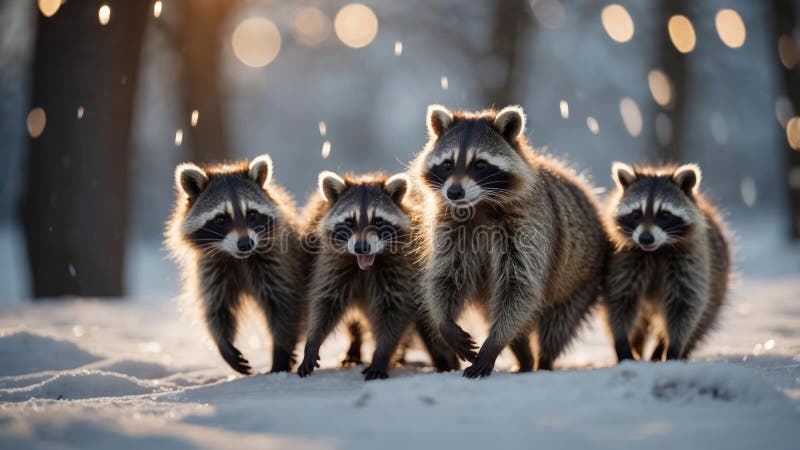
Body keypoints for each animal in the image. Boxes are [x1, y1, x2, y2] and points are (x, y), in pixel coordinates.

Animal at [165, 155, 305, 374]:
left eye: (252, 214)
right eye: (221, 219)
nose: (246, 243)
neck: (238, 258)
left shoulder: (278, 263)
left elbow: (284, 306)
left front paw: (280, 356)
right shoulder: (211, 268)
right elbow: (216, 308)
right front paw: (223, 344)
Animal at [297, 171, 459, 381]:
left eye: (378, 221)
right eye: (350, 221)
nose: (361, 247)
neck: (367, 265)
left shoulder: (403, 266)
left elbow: (394, 310)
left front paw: (382, 354)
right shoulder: (331, 262)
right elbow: (326, 302)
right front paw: (313, 341)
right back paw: (355, 347)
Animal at [410, 105, 607, 378]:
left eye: (480, 165)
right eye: (448, 163)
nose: (454, 192)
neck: (478, 205)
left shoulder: (529, 227)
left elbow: (520, 286)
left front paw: (493, 344)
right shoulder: (451, 228)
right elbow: (446, 276)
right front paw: (445, 323)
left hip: (580, 281)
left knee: (557, 325)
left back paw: (542, 360)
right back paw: (523, 356)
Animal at [603, 162, 730, 361]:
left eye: (664, 214)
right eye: (636, 213)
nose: (646, 238)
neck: (657, 250)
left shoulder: (693, 258)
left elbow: (685, 303)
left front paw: (673, 347)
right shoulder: (626, 257)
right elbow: (620, 298)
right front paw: (622, 342)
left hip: (718, 285)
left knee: (702, 320)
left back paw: (664, 351)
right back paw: (638, 347)